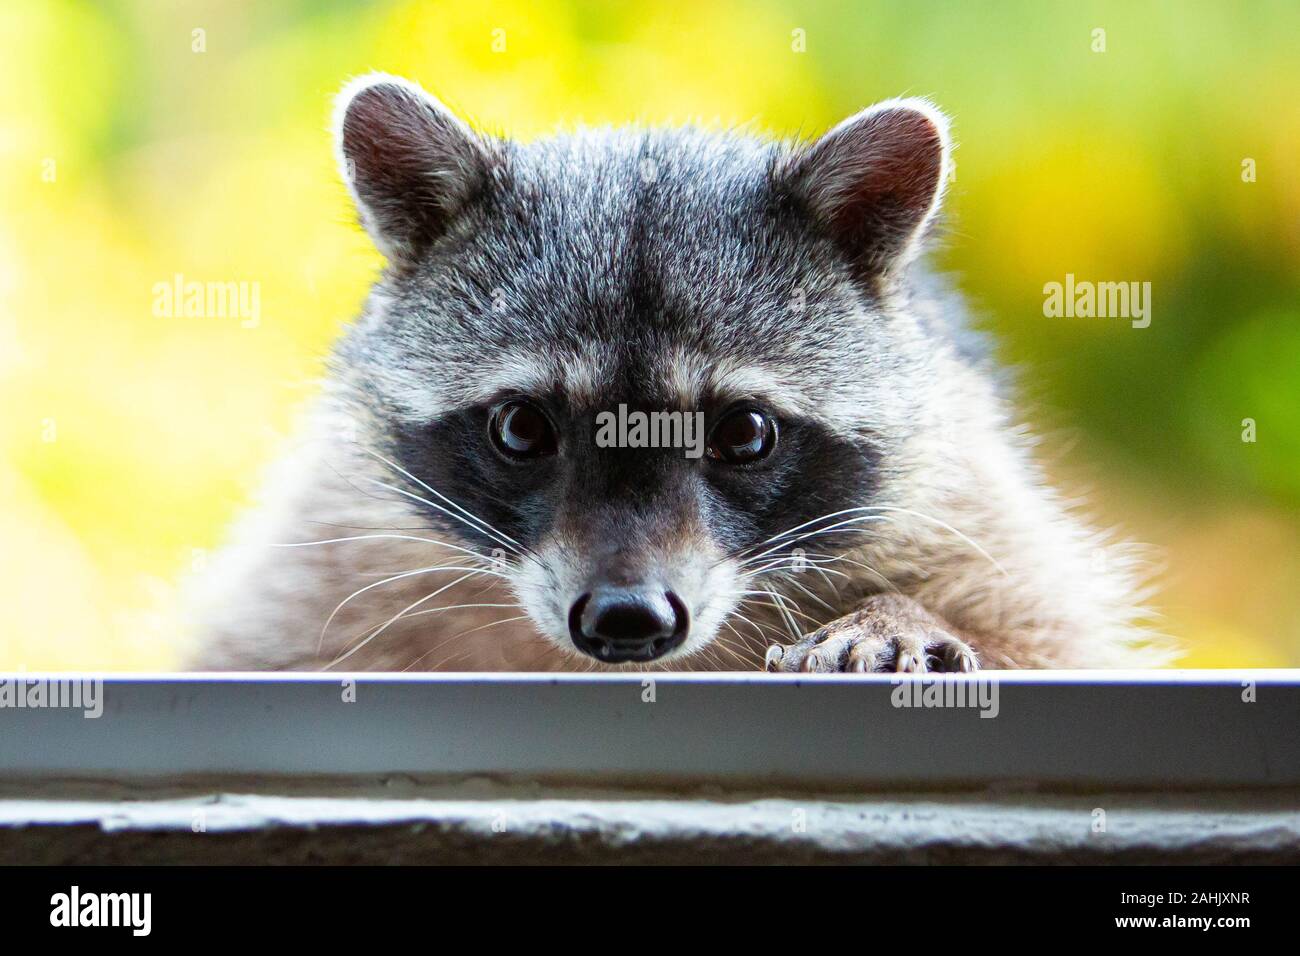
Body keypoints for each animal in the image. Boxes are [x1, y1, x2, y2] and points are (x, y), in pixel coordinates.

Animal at [188, 73, 1164, 672]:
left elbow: (1049, 627)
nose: (627, 620)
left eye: (744, 433)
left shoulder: (960, 484)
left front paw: (909, 618)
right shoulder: (334, 531)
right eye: (522, 429)